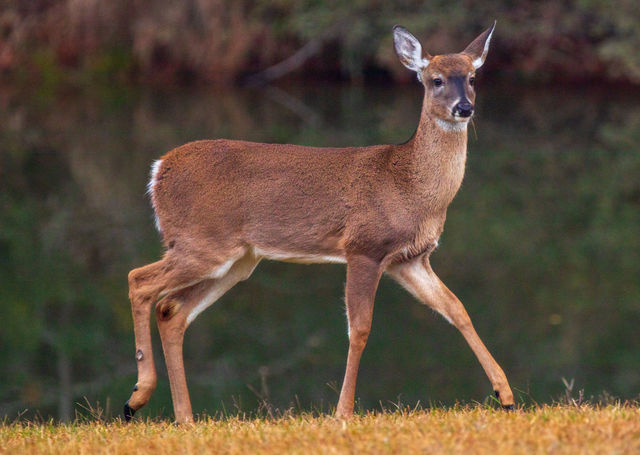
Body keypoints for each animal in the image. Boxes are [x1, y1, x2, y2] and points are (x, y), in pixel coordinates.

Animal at [123, 22, 514, 424]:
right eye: (436, 80)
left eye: (472, 78)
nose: (464, 108)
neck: (410, 185)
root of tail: (158, 171)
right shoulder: (364, 247)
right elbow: (360, 329)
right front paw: (343, 411)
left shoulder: (410, 259)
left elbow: (456, 308)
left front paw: (505, 394)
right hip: (203, 242)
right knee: (139, 281)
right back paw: (137, 396)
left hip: (236, 260)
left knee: (171, 310)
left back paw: (182, 417)